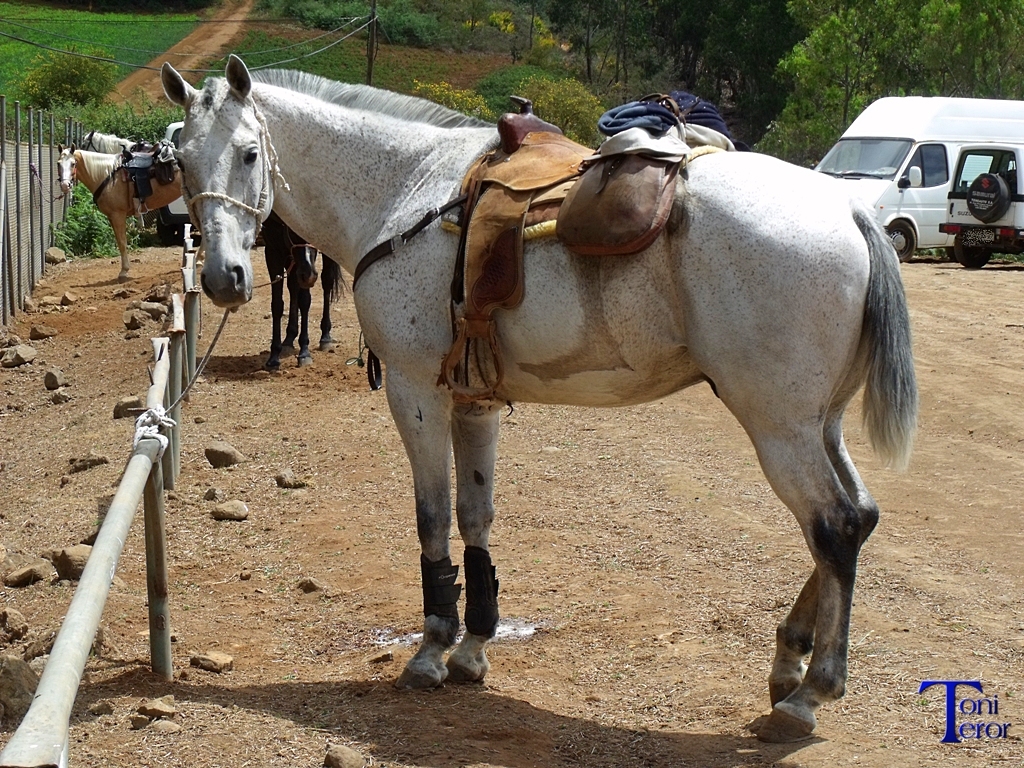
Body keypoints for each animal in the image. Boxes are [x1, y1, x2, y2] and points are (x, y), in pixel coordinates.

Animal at [57, 145, 182, 282]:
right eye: (58, 163)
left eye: (73, 164)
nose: (65, 185)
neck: (108, 176)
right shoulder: (112, 217)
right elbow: (119, 241)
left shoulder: (118, 215)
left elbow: (122, 243)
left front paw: (124, 271)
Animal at [261, 211, 343, 369]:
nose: (309, 276)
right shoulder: (273, 251)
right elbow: (277, 305)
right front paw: (274, 357)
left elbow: (304, 301)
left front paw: (304, 352)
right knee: (293, 287)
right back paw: (289, 338)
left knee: (327, 282)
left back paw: (325, 337)